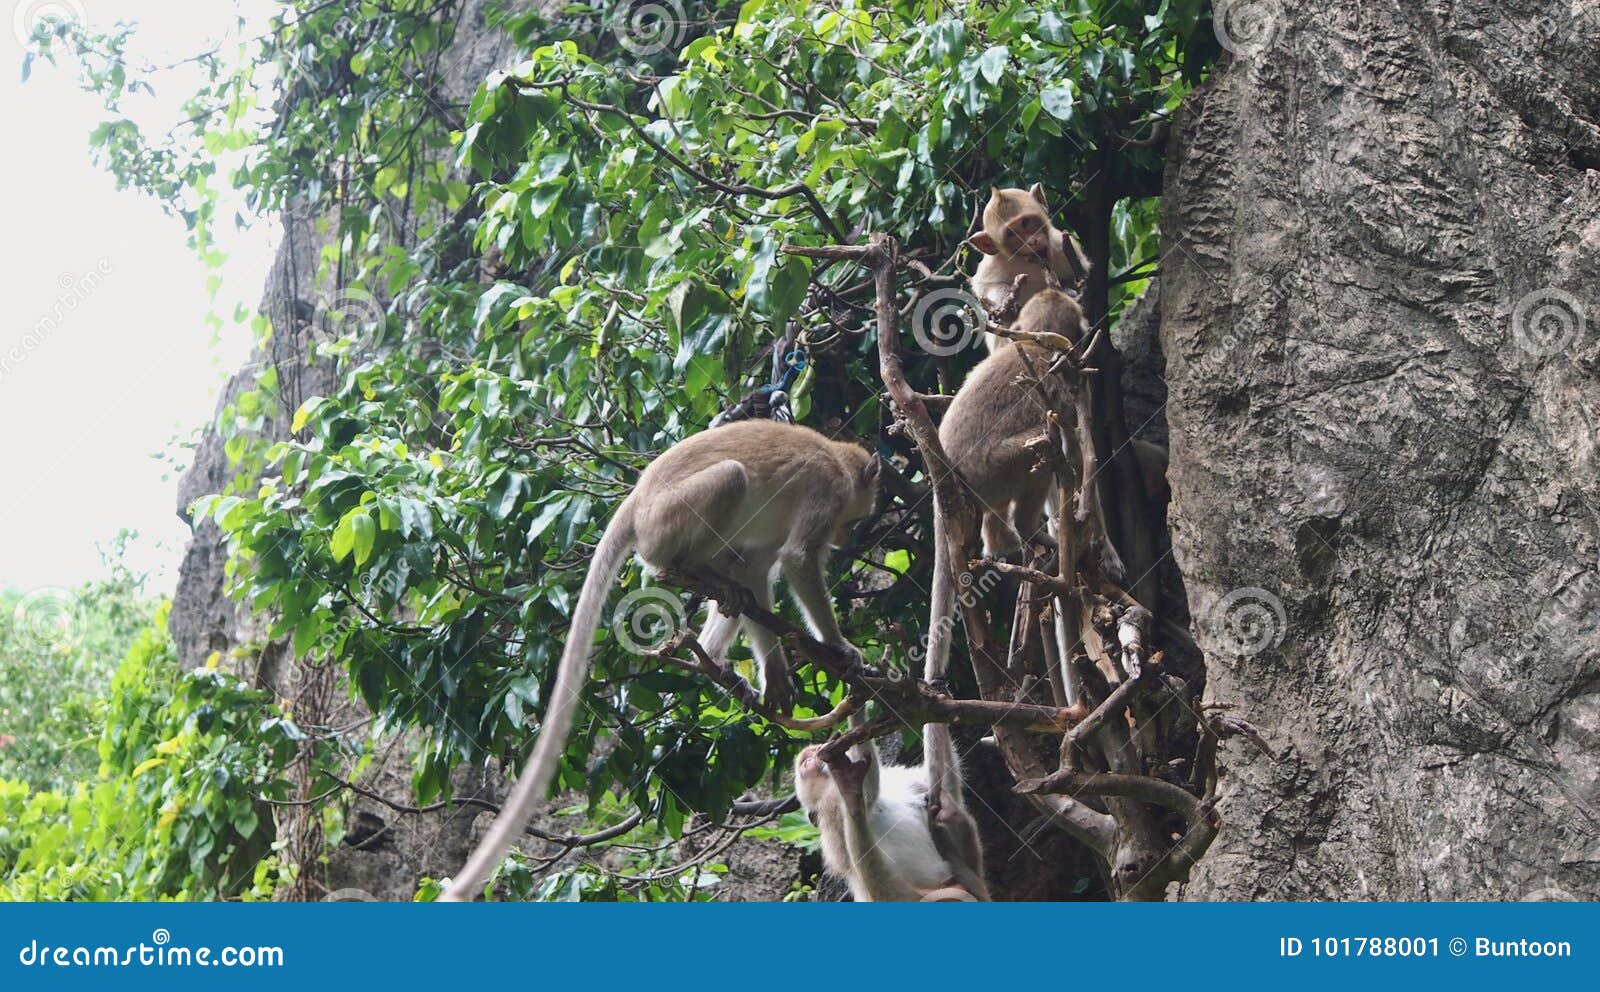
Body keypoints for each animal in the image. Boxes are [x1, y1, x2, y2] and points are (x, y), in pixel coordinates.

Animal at [439, 419, 879, 901]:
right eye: (854, 517)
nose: (844, 539)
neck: (836, 458)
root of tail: (635, 502)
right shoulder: (826, 488)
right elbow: (798, 559)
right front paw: (840, 648)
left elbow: (756, 566)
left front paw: (776, 672)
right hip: (666, 522)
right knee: (728, 482)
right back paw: (694, 572)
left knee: (738, 575)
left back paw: (717, 659)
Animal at [794, 715, 989, 902]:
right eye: (807, 763)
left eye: (814, 753)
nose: (815, 752)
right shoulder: (829, 804)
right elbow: (869, 792)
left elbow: (947, 785)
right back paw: (850, 789)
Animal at [967, 184, 1090, 352]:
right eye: (1012, 233)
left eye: (1026, 222)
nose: (1032, 241)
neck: (1030, 263)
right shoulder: (993, 262)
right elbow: (985, 287)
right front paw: (1002, 300)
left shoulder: (1060, 245)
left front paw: (1069, 292)